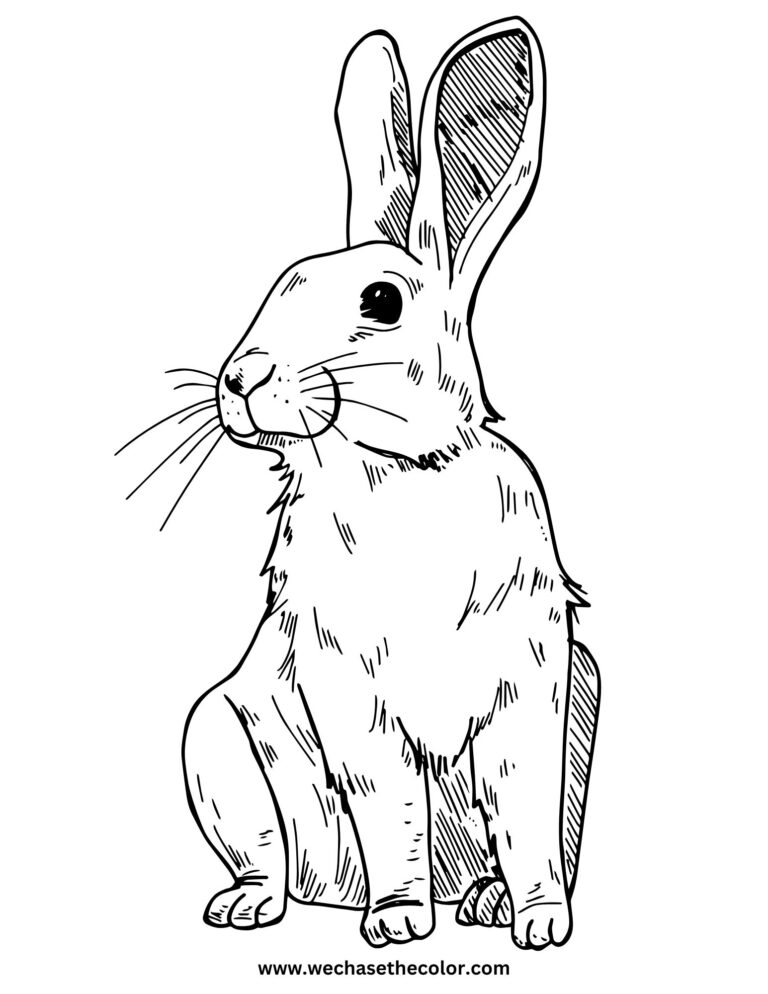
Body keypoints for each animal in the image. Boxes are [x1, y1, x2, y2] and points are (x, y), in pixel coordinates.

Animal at [181, 17, 601, 950]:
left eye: (381, 301)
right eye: (281, 285)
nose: (239, 378)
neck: (401, 469)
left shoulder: (533, 691)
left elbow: (527, 812)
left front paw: (542, 924)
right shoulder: (353, 703)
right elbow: (390, 811)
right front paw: (402, 920)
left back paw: (484, 902)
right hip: (217, 745)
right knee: (267, 858)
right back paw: (254, 905)